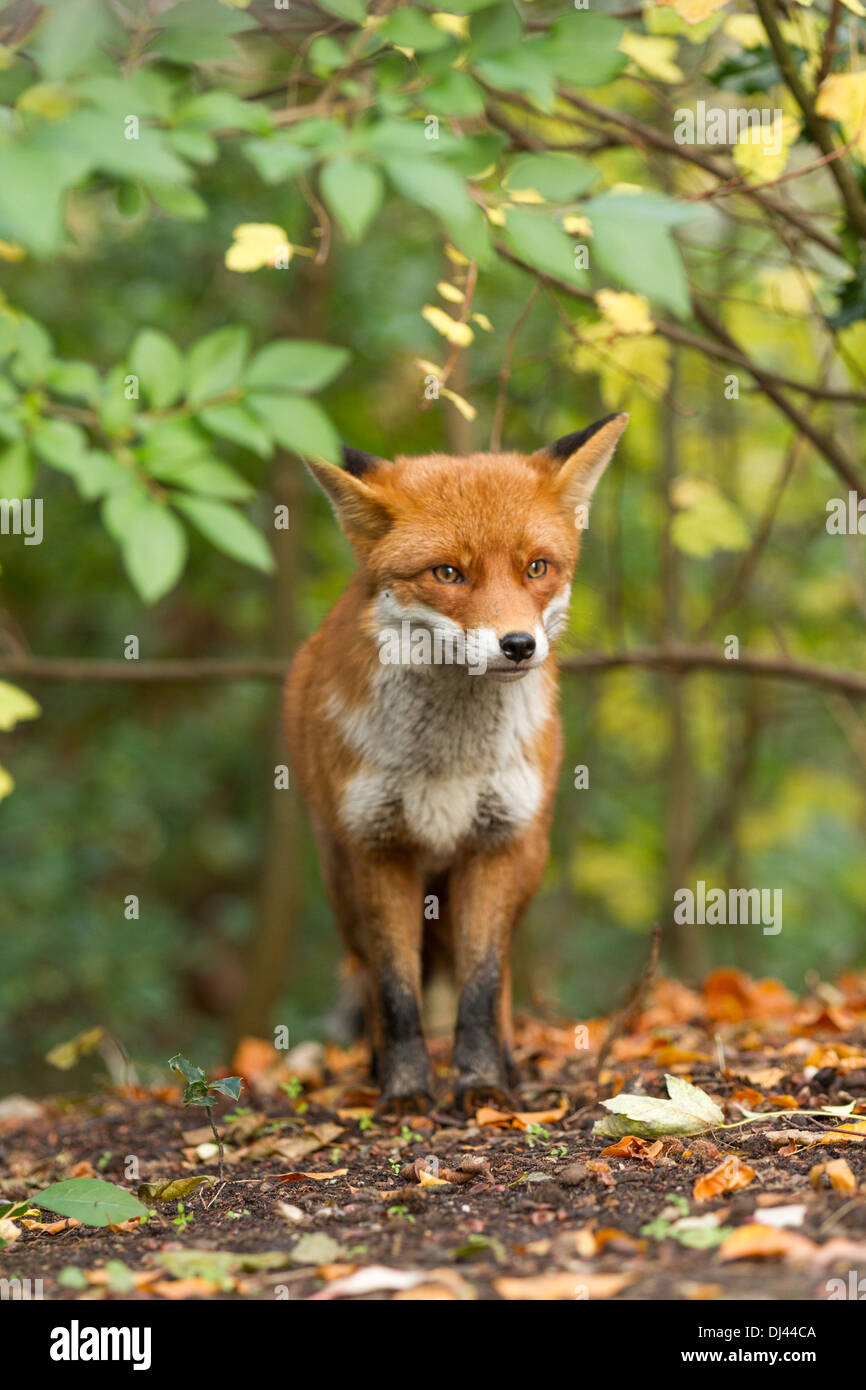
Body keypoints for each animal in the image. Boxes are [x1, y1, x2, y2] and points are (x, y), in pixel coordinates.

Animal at [285, 411, 628, 1113]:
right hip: (340, 881)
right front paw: (405, 1090)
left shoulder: (495, 844)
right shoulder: (379, 847)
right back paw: (375, 1066)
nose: (519, 645)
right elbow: (396, 991)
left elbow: (480, 986)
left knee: (501, 978)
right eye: (447, 574)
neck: (448, 761)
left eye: (537, 567)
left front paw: (482, 1083)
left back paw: (510, 1065)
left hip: (527, 861)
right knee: (369, 975)